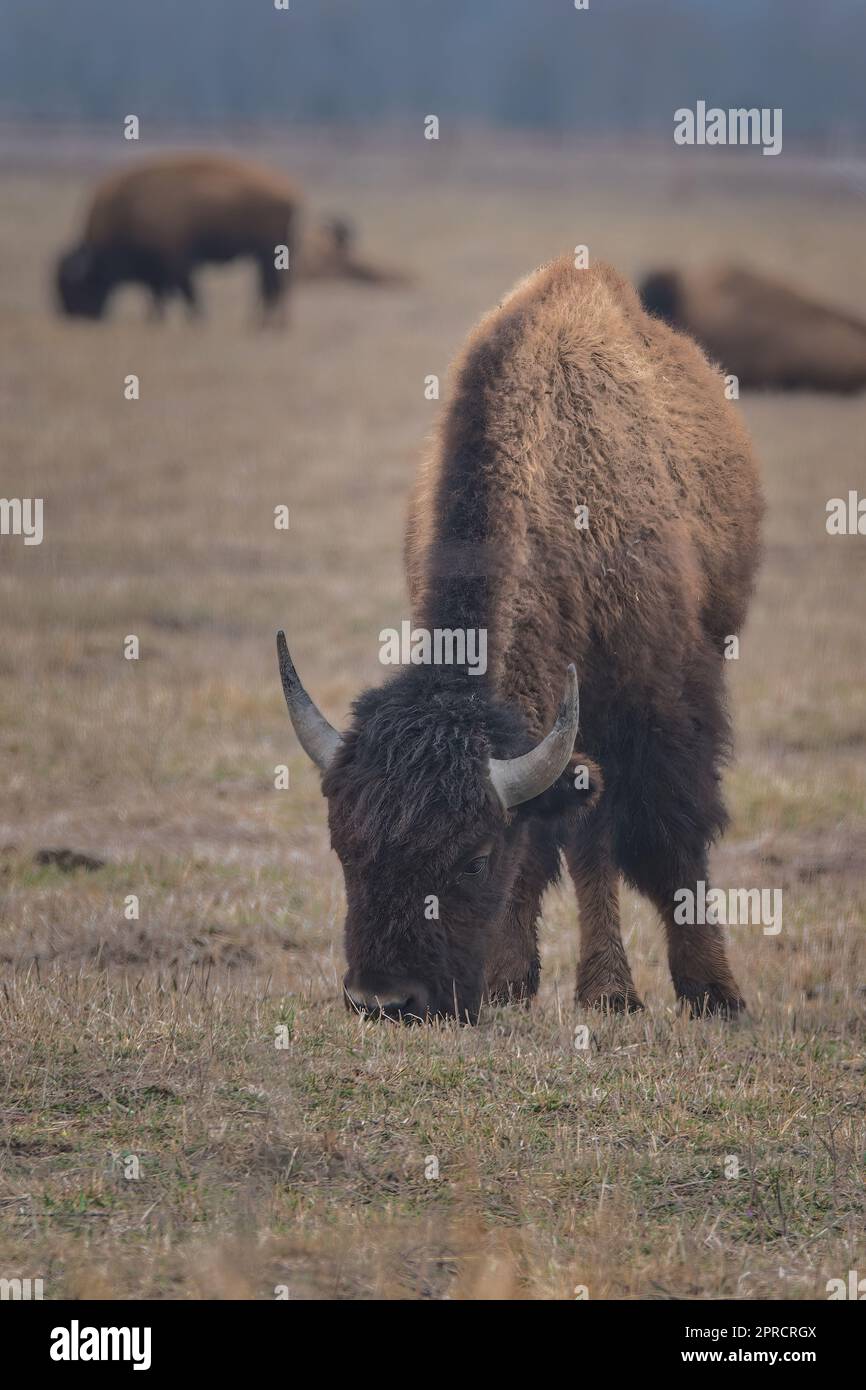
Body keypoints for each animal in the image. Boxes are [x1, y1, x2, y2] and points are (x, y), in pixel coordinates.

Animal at [56, 153, 301, 322]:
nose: (72, 315)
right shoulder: (160, 271)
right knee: (273, 287)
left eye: (74, 286)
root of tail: (289, 191)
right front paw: (157, 319)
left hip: (269, 253)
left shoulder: (177, 262)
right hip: (267, 255)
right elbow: (161, 294)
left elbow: (185, 292)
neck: (127, 211)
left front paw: (196, 320)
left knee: (272, 287)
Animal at [278, 257, 763, 1024]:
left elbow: (669, 836)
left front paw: (711, 992)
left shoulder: (657, 697)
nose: (384, 999)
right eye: (344, 848)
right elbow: (542, 847)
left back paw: (616, 992)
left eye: (473, 858)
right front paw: (510, 981)